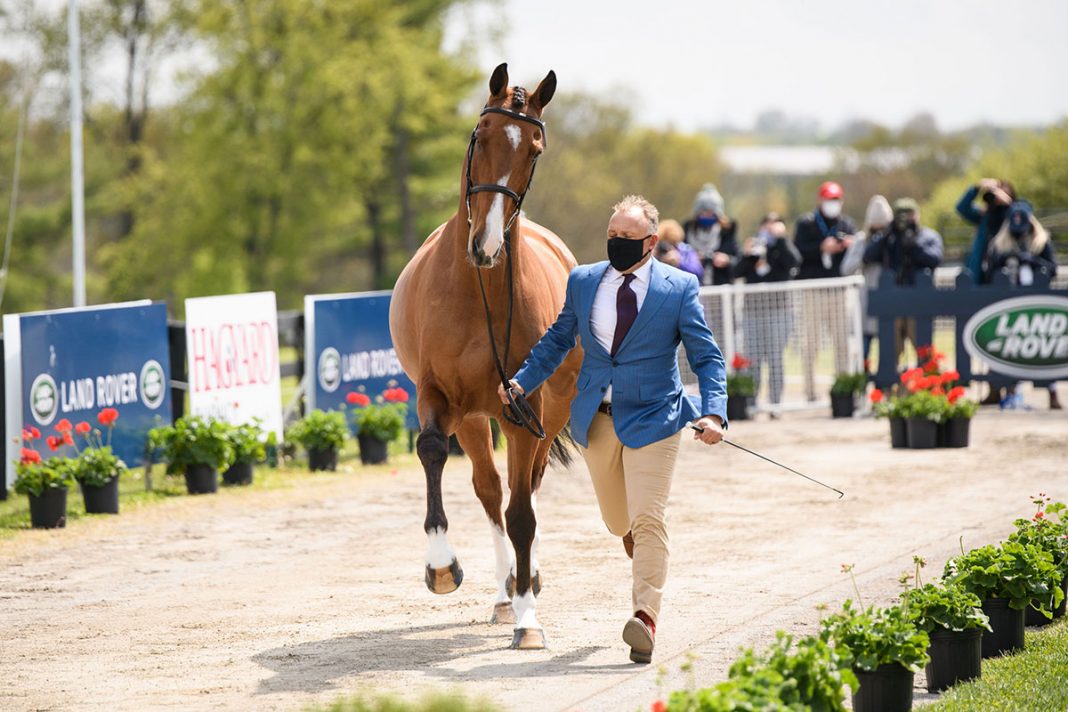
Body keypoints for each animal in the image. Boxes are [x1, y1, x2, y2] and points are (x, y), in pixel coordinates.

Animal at [389, 64, 581, 650]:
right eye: (482, 135)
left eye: (535, 150)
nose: (486, 245)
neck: (477, 292)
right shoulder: (437, 396)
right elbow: (433, 453)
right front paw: (441, 567)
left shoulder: (523, 408)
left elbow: (523, 514)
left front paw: (528, 619)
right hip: (475, 419)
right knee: (490, 489)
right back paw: (503, 590)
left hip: (548, 410)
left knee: (527, 489)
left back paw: (525, 581)